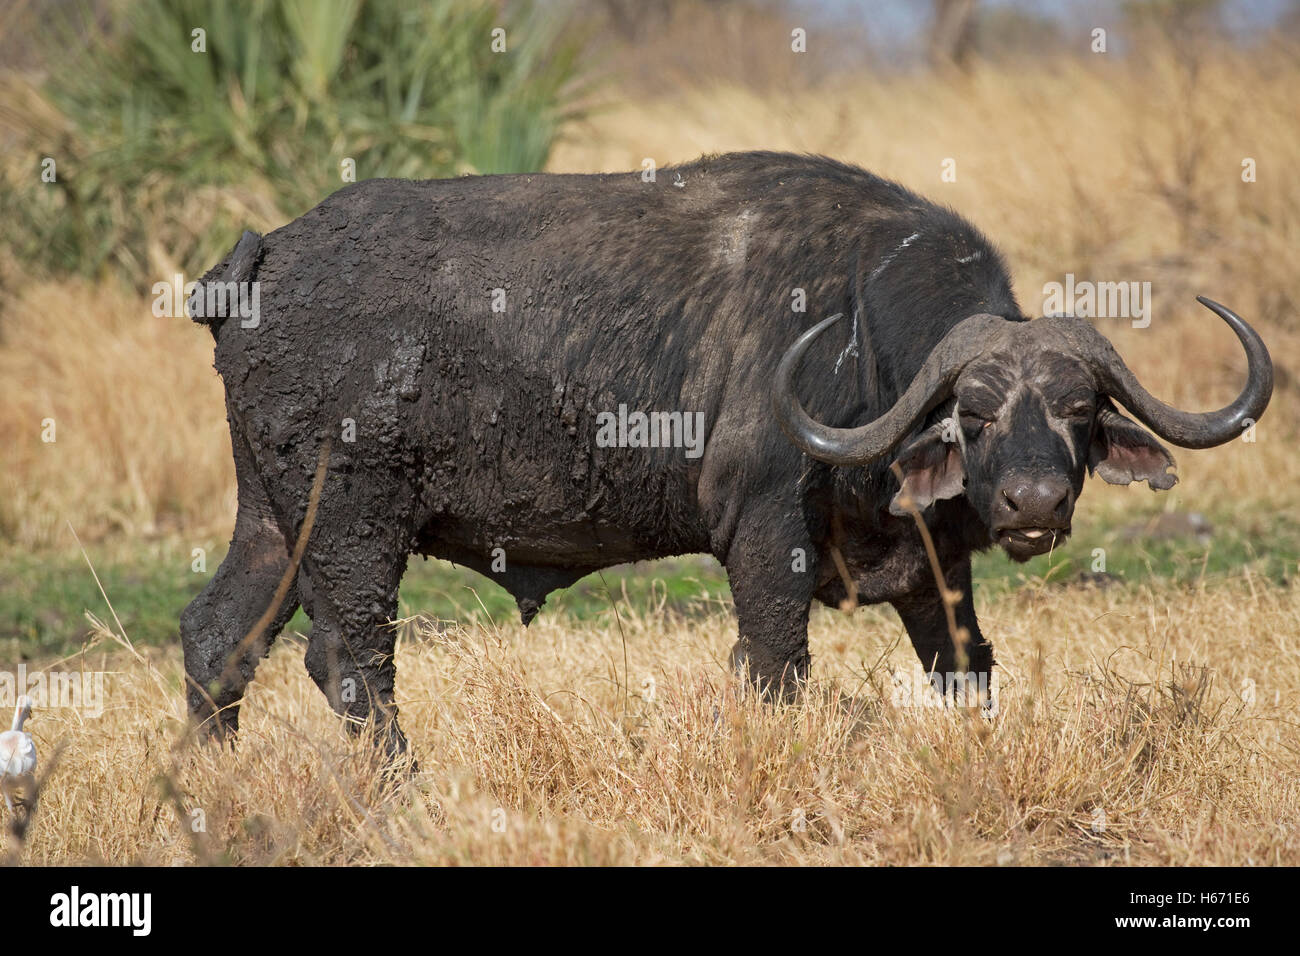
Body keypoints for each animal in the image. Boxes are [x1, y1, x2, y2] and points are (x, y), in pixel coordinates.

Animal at [181, 151, 1272, 755]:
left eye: (1080, 408)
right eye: (973, 409)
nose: (1036, 502)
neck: (859, 340)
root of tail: (267, 257)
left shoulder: (934, 564)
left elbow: (966, 667)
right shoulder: (764, 534)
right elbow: (777, 665)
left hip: (275, 517)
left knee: (217, 636)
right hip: (354, 521)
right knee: (350, 659)